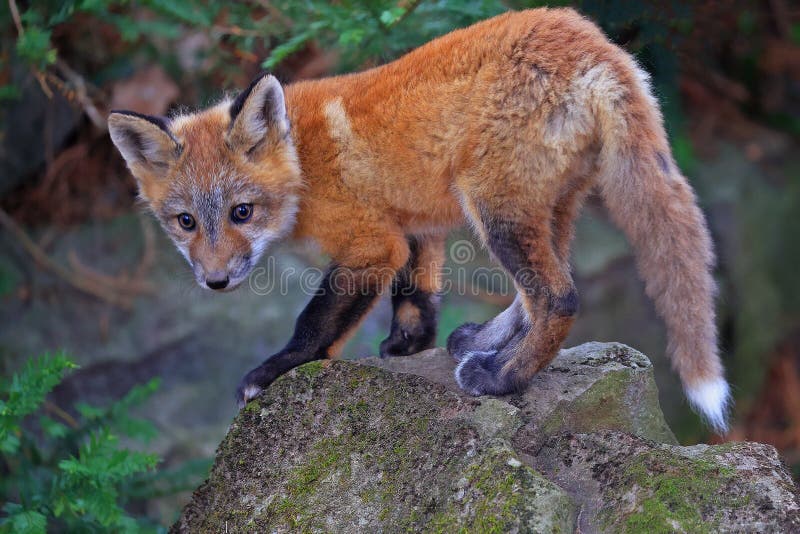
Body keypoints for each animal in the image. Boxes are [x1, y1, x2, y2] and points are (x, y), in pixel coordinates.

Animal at [108, 8, 730, 431]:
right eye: (185, 222)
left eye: (242, 212)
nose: (215, 281)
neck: (304, 164)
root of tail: (592, 39)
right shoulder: (413, 228)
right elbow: (415, 296)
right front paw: (409, 347)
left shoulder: (372, 243)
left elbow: (315, 323)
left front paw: (275, 370)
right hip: (546, 205)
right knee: (536, 294)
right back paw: (485, 344)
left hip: (496, 209)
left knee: (561, 297)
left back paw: (503, 378)